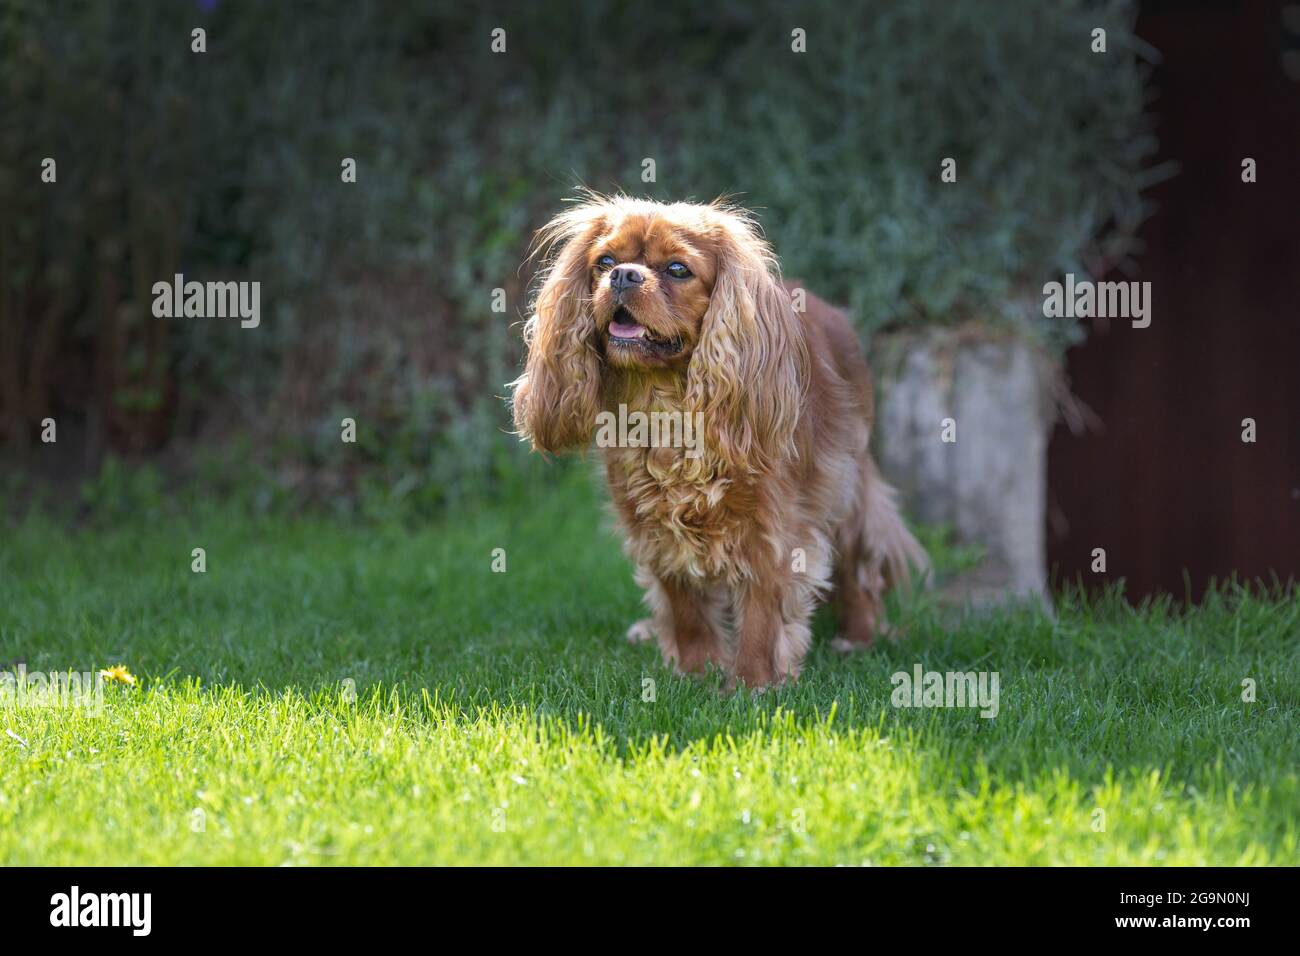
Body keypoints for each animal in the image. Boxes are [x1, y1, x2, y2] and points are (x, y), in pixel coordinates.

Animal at [506, 195, 925, 686]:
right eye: (604, 261)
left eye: (677, 269)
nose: (624, 275)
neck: (666, 403)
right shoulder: (654, 527)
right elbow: (685, 606)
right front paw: (697, 672)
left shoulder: (773, 528)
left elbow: (763, 614)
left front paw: (751, 684)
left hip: (847, 489)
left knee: (858, 567)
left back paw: (857, 638)